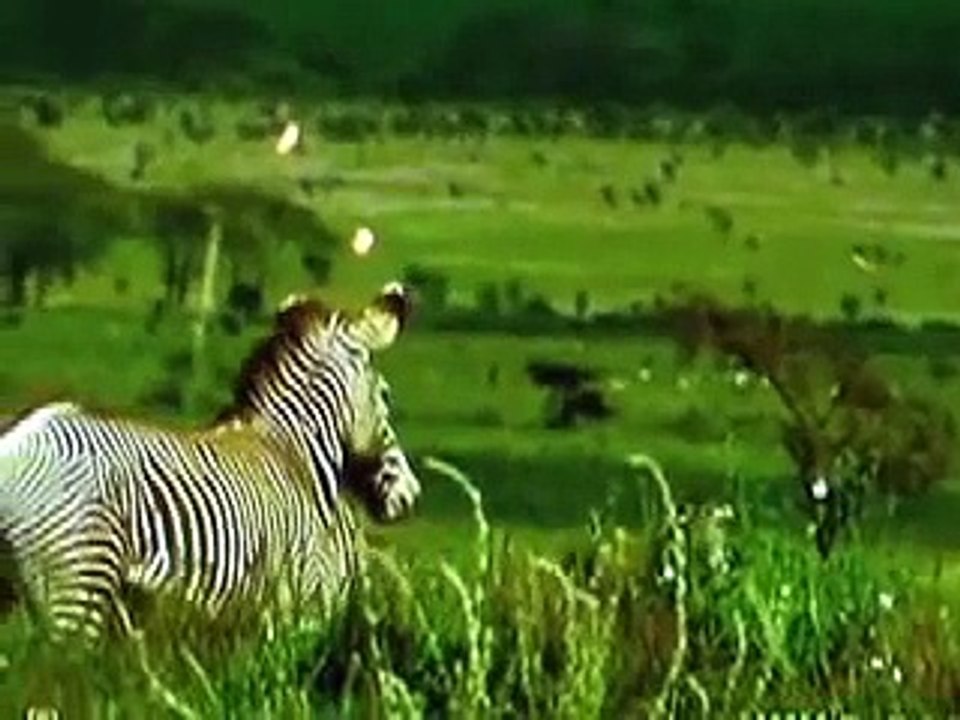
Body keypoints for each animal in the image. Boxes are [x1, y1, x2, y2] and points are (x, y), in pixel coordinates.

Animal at [0, 282, 421, 643]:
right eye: (385, 395)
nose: (410, 494)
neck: (293, 449)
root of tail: (16, 442)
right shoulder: (302, 607)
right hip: (77, 585)